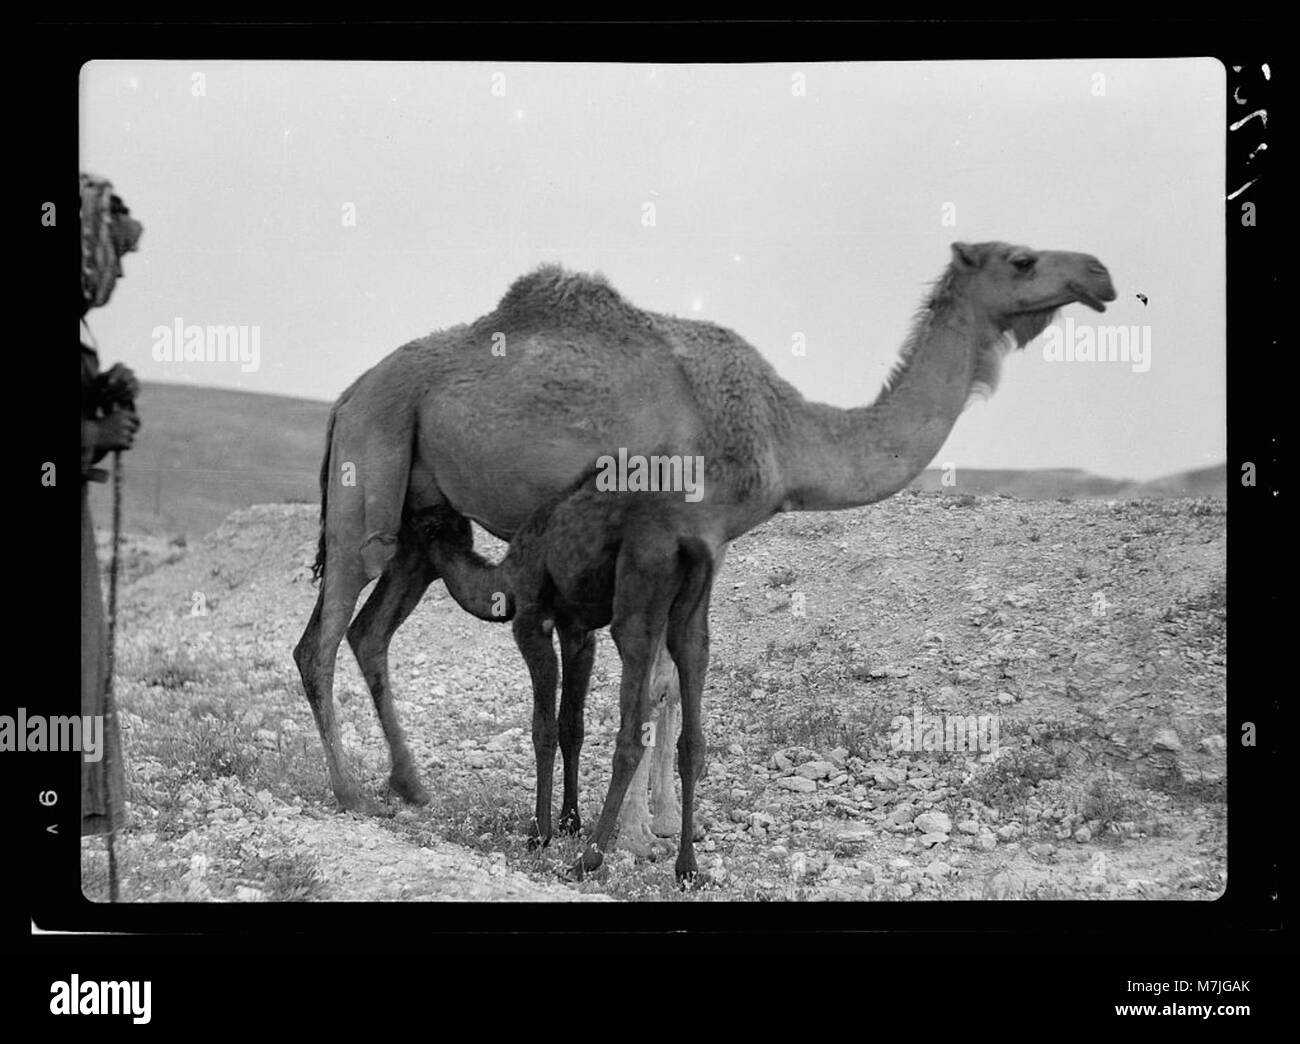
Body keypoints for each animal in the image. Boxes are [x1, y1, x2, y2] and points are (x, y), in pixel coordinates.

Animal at [417, 469, 712, 876]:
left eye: (419, 525)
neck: (506, 578)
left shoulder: (531, 621)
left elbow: (543, 727)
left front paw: (539, 833)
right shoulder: (576, 630)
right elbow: (572, 724)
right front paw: (569, 820)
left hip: (638, 616)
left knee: (633, 732)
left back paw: (590, 858)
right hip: (689, 621)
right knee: (691, 731)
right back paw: (687, 867)